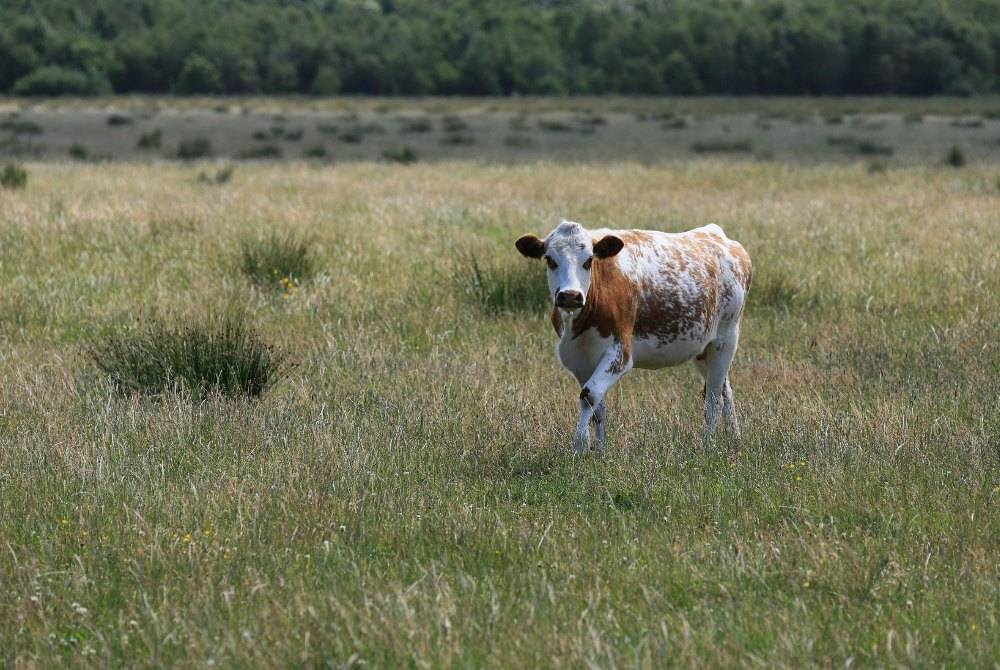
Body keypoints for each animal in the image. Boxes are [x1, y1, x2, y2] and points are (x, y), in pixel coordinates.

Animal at [515, 220, 752, 453]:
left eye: (589, 260)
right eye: (550, 260)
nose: (570, 296)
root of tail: (717, 235)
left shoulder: (620, 353)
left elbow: (589, 395)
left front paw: (580, 446)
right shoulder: (578, 358)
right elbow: (598, 405)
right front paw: (600, 451)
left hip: (726, 338)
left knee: (713, 397)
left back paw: (707, 446)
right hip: (703, 349)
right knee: (725, 390)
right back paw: (734, 440)